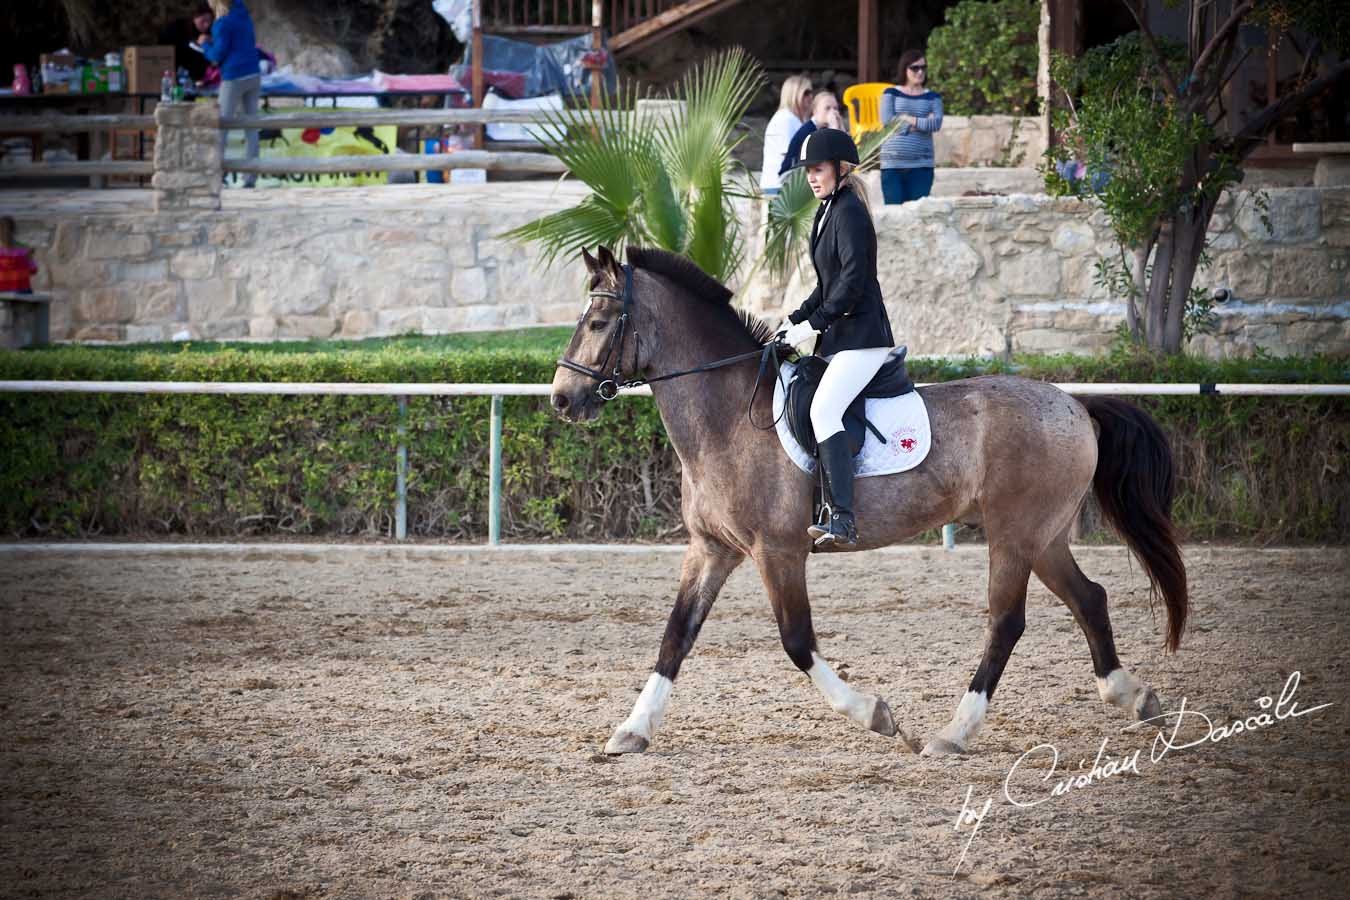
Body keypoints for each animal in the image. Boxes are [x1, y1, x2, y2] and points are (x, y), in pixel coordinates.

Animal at [550, 245, 1187, 757]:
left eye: (600, 321)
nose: (562, 399)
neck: (729, 417)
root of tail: (1075, 403)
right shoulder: (711, 549)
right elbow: (676, 635)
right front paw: (632, 730)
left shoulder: (778, 552)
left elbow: (796, 642)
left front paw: (875, 715)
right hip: (1044, 537)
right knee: (1089, 597)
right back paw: (1132, 697)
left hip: (1014, 535)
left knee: (1008, 622)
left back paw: (953, 734)